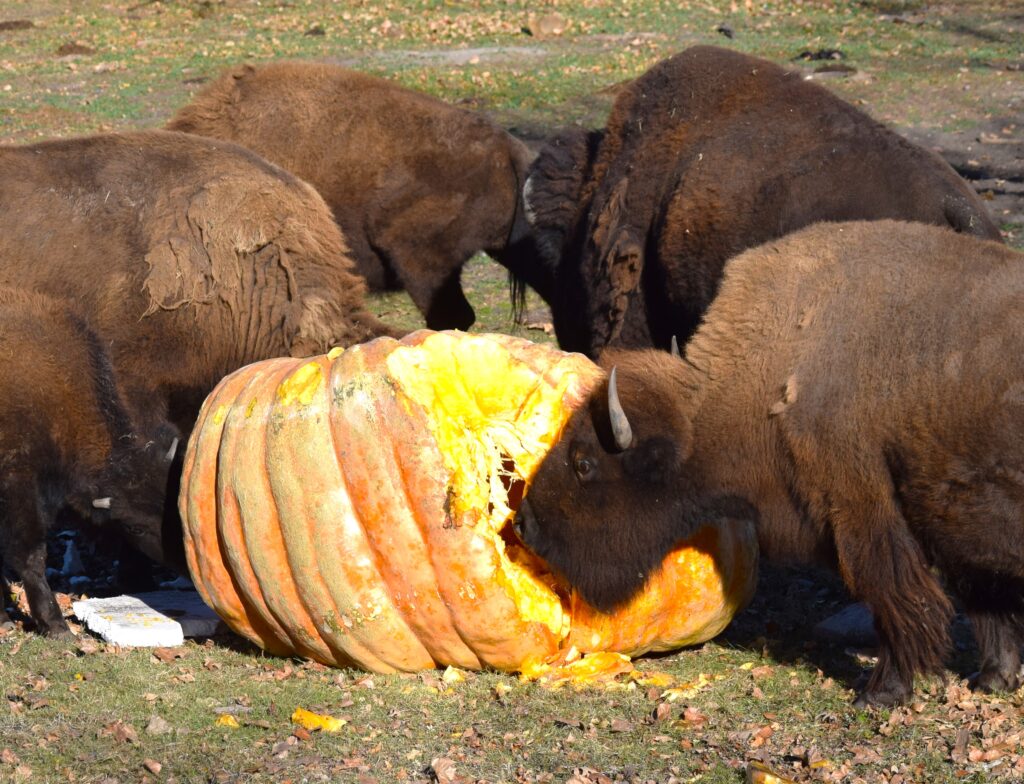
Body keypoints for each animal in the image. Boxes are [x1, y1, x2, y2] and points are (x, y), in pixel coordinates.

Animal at [517, 220, 1024, 707]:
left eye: (584, 463)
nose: (524, 524)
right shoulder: (948, 519)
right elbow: (980, 599)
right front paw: (994, 678)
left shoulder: (861, 509)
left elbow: (895, 595)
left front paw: (880, 694)